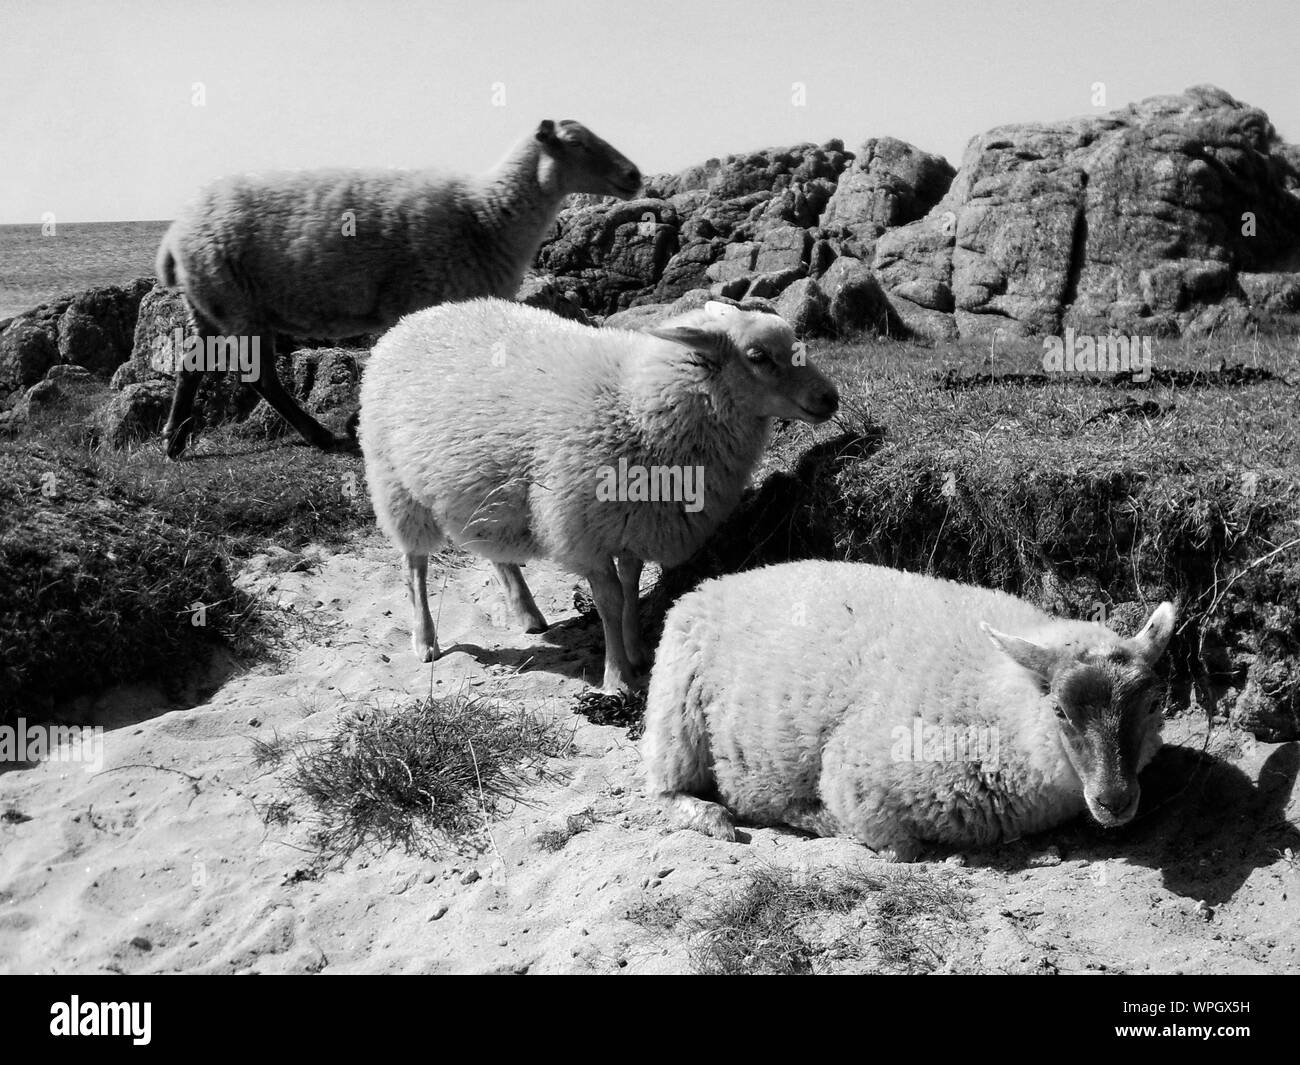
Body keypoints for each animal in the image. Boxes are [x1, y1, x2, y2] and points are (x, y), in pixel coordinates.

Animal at [154, 119, 641, 457]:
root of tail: (175, 235)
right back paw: (318, 434)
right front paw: (360, 420)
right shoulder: (416, 300)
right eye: (576, 142)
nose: (635, 175)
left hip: (210, 302)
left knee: (191, 364)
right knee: (259, 377)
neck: (486, 216)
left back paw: (174, 440)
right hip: (238, 304)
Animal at [358, 297, 840, 692]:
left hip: (487, 493)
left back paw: (528, 614)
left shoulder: (639, 519)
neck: (634, 405)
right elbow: (608, 601)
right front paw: (617, 676)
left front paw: (638, 650)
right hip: (395, 485)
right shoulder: (583, 529)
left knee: (496, 552)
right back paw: (425, 639)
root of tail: (414, 317)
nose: (830, 398)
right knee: (414, 565)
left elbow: (630, 584)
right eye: (758, 357)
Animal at [642, 561, 1177, 861]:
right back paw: (711, 814)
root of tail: (715, 581)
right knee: (665, 788)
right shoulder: (857, 780)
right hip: (676, 703)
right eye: (1061, 712)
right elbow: (900, 848)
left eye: (1153, 704)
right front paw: (815, 818)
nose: (1115, 800)